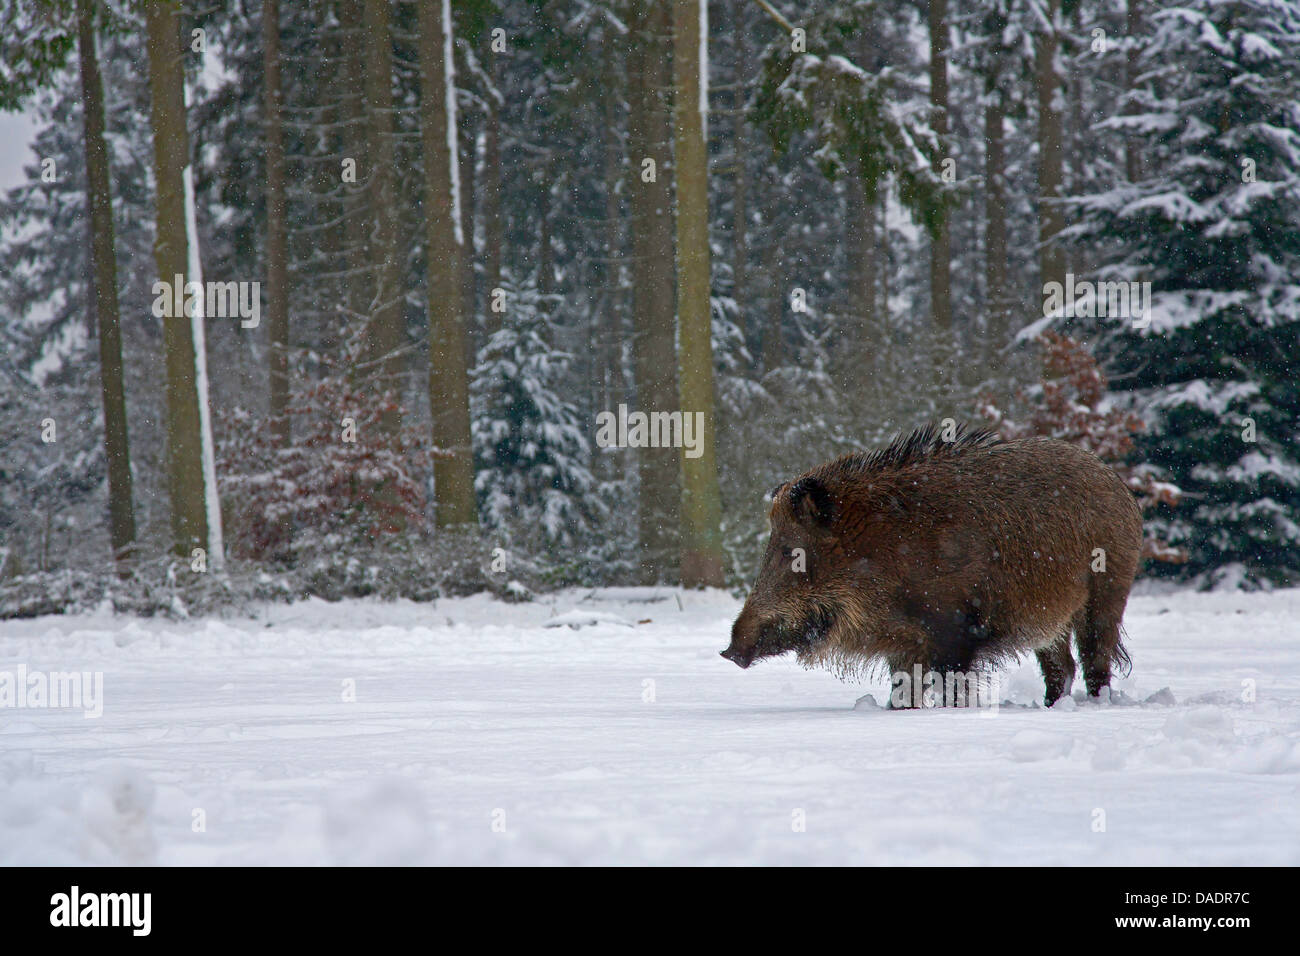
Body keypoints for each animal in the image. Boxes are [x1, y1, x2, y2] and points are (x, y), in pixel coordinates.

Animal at [721, 424, 1143, 707]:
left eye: (790, 551)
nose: (730, 650)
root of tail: (1117, 483)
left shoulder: (955, 632)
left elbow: (950, 688)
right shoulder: (903, 644)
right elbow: (901, 693)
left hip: (1108, 590)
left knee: (1094, 659)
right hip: (1049, 617)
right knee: (1062, 667)